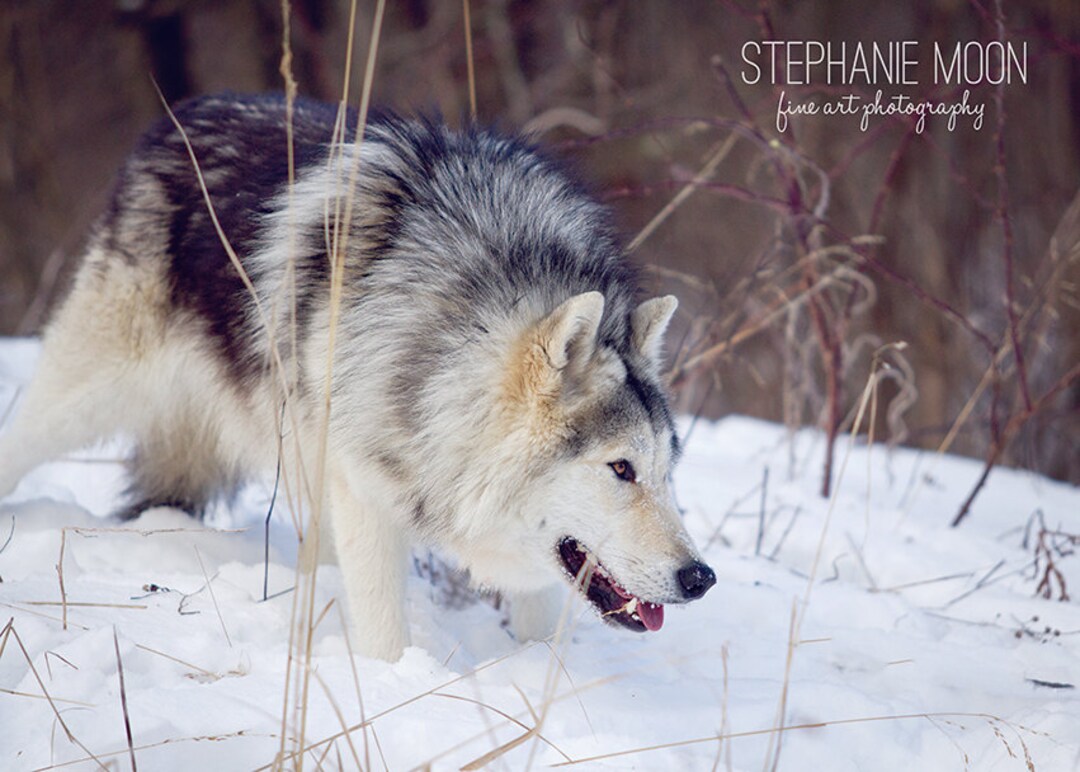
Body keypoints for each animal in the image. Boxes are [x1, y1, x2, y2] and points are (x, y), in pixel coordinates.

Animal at [0, 93, 716, 660]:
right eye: (620, 468)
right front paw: (391, 686)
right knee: (21, 440)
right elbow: (383, 630)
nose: (701, 578)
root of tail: (182, 115)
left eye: (665, 471)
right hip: (88, 396)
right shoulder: (363, 494)